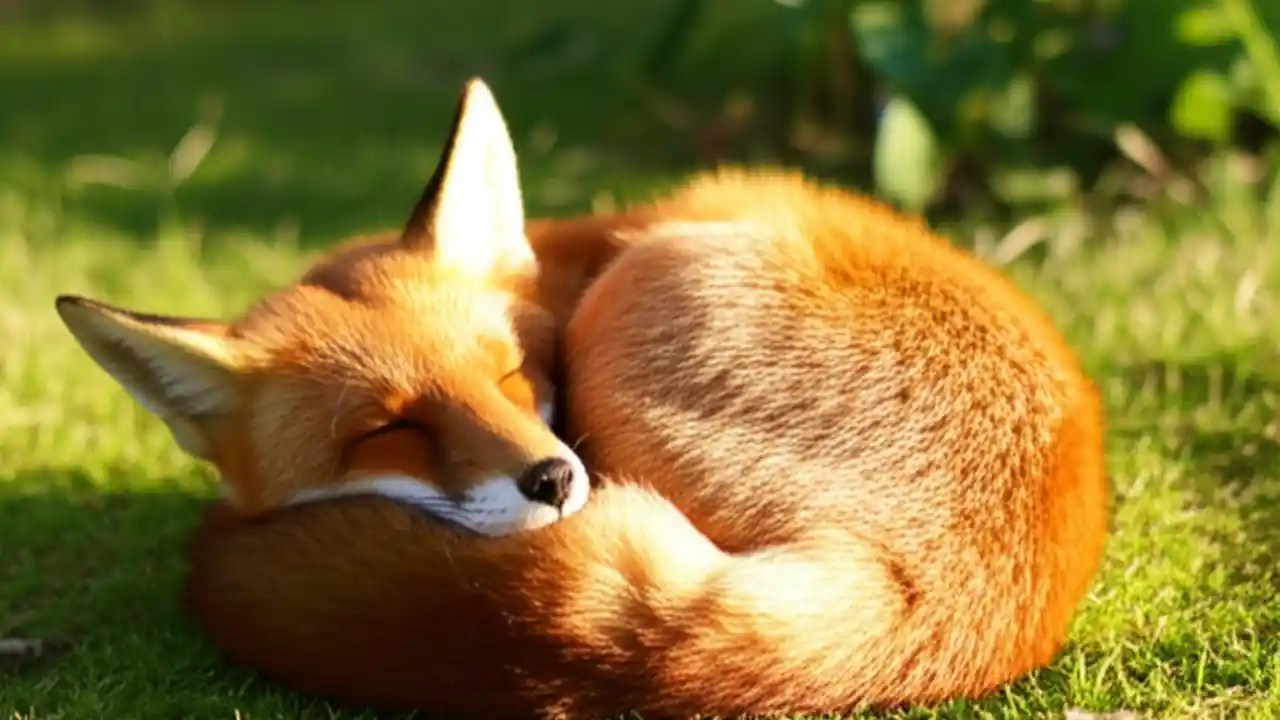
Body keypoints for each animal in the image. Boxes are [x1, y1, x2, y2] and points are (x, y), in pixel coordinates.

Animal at [56, 78, 1110, 719]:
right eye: (390, 429)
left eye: (512, 372)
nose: (555, 480)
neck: (555, 264)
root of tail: (939, 603)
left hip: (642, 288)